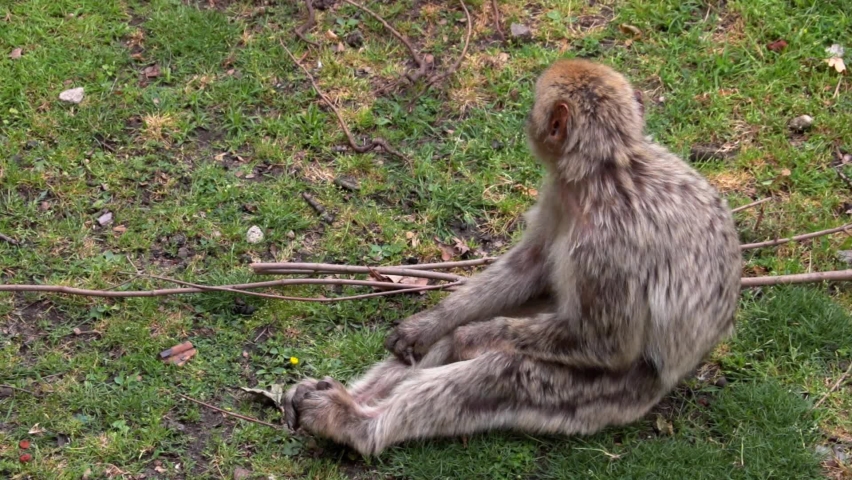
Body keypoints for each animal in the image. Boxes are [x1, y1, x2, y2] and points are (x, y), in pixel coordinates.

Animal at [282, 58, 742, 456]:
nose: (526, 122)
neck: (606, 169)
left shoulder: (609, 243)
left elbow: (606, 343)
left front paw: (466, 337)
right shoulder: (558, 193)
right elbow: (529, 266)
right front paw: (431, 326)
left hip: (611, 392)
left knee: (505, 372)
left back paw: (357, 423)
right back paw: (342, 396)